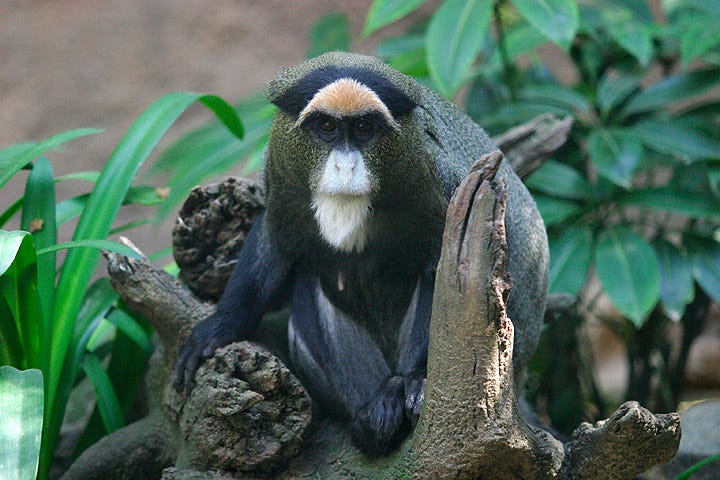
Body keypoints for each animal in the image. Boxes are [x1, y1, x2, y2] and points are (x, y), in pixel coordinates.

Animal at [174, 52, 549, 456]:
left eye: (364, 129)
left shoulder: (441, 179)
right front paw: (218, 327)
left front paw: (418, 380)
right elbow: (275, 242)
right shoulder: (280, 170)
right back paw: (372, 416)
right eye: (326, 127)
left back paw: (401, 388)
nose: (345, 165)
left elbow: (449, 276)